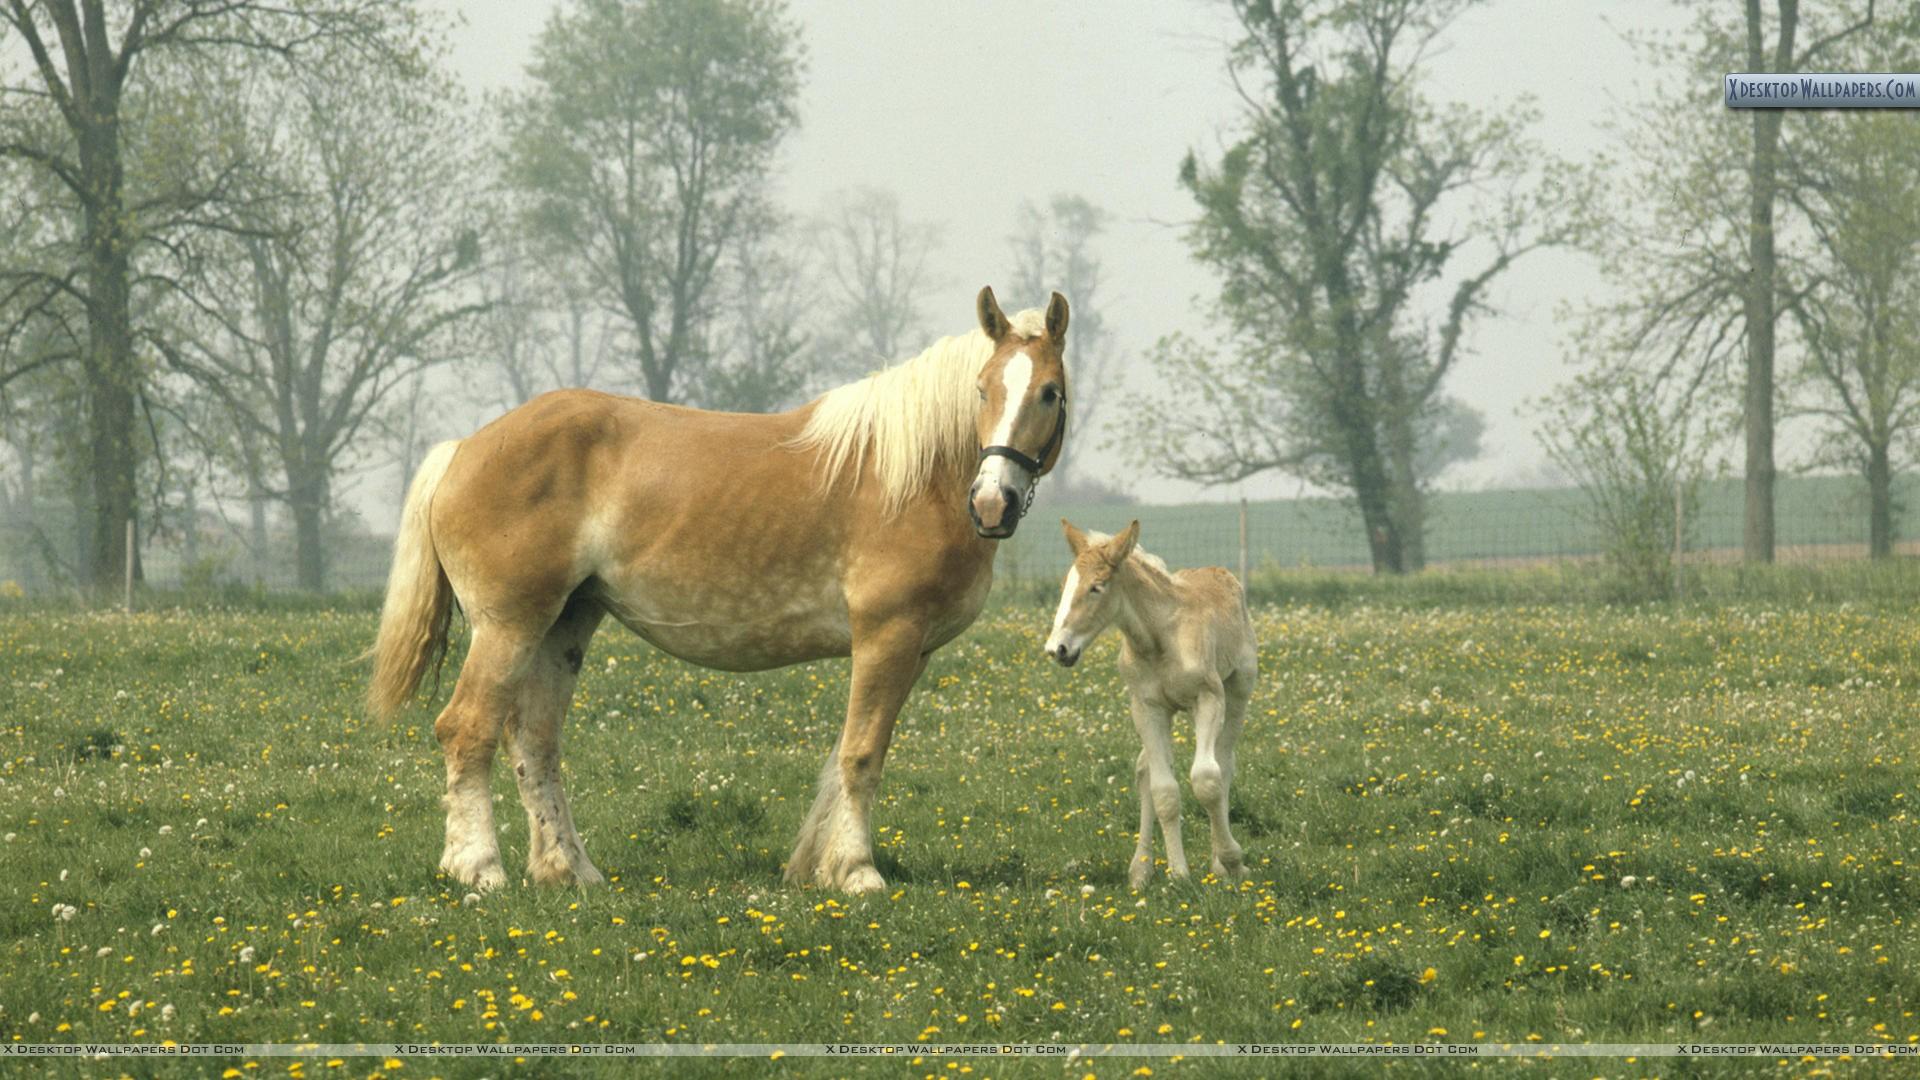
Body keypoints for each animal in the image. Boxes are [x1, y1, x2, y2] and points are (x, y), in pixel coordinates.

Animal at [364, 286, 1068, 894]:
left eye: (1050, 394)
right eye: (982, 389)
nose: (993, 504)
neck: (915, 476)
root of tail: (462, 449)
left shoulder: (912, 652)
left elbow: (840, 759)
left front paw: (813, 867)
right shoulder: (886, 638)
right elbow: (862, 755)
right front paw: (858, 871)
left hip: (562, 626)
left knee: (535, 745)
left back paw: (571, 871)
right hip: (507, 626)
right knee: (467, 730)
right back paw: (479, 868)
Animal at [1043, 519, 1255, 887]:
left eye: (1097, 587)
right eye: (1064, 585)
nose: (1058, 649)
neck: (1158, 639)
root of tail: (1222, 573)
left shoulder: (1209, 698)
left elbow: (1207, 779)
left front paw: (1231, 860)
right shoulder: (1147, 708)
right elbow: (1163, 790)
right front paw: (1178, 873)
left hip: (1238, 690)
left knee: (1224, 763)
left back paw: (1220, 863)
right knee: (1145, 770)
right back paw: (1141, 869)